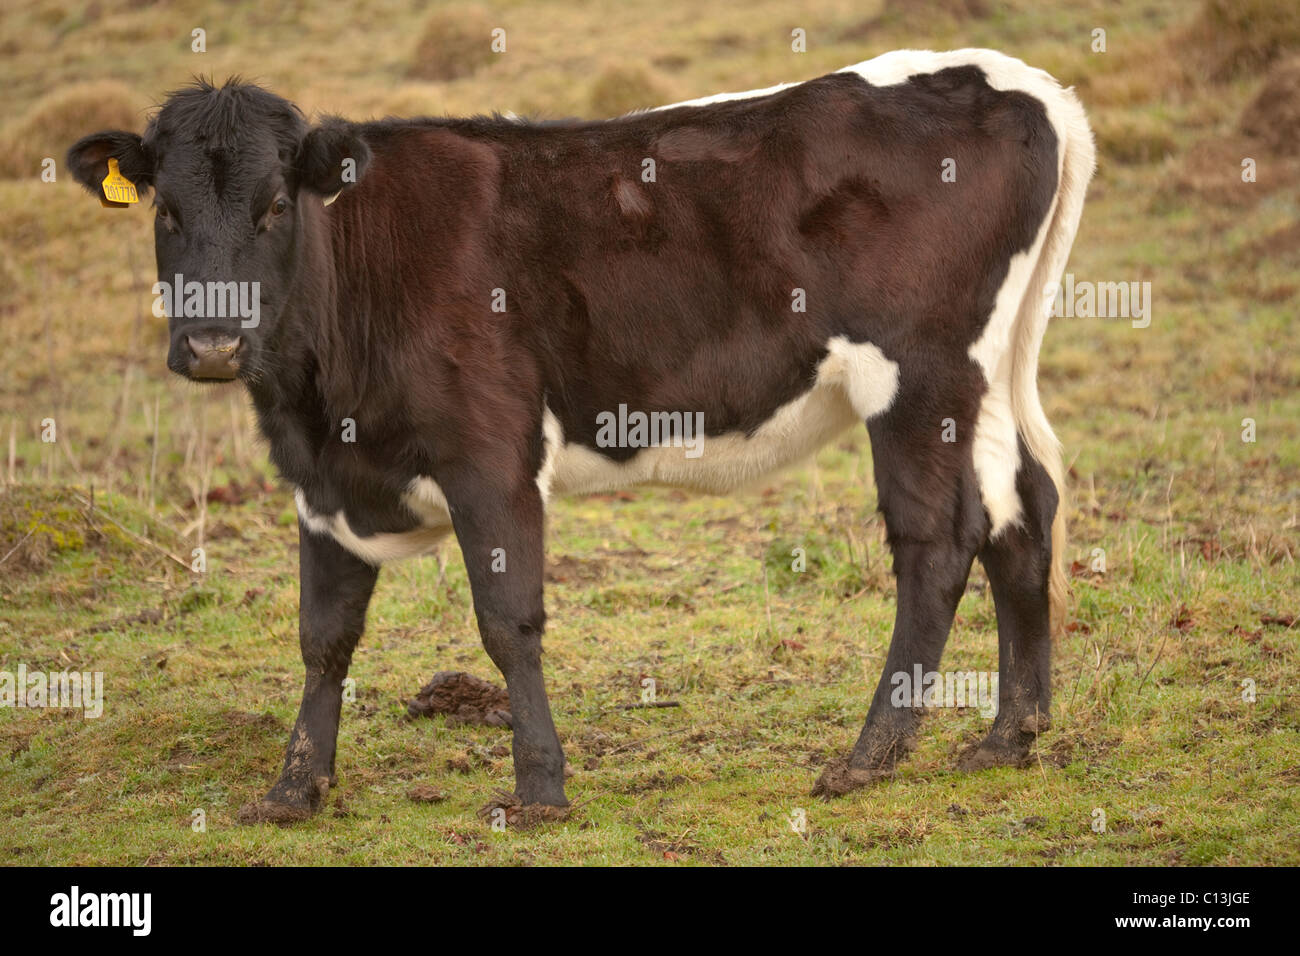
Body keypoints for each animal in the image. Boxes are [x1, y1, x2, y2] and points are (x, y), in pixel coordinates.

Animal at [68, 48, 1094, 821]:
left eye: (276, 205)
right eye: (166, 211)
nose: (212, 342)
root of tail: (1025, 82)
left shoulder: (491, 454)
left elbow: (507, 621)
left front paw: (539, 791)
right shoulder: (323, 483)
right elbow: (324, 636)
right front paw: (293, 790)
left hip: (921, 374)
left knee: (940, 540)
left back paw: (870, 755)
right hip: (988, 374)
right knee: (1025, 509)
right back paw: (1009, 734)